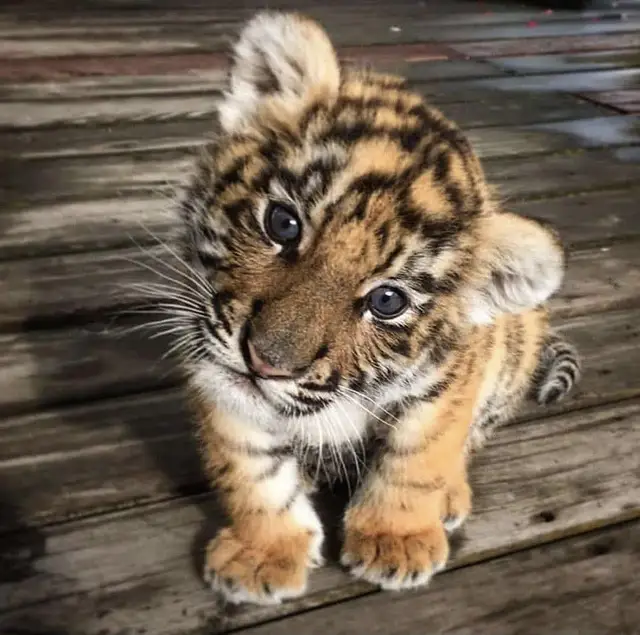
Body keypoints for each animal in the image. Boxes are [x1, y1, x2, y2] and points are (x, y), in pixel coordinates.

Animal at [168, 12, 581, 605]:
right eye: (282, 223)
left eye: (387, 301)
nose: (264, 363)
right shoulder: (215, 370)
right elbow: (250, 469)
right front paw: (263, 552)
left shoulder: (445, 384)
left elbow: (417, 457)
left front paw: (396, 541)